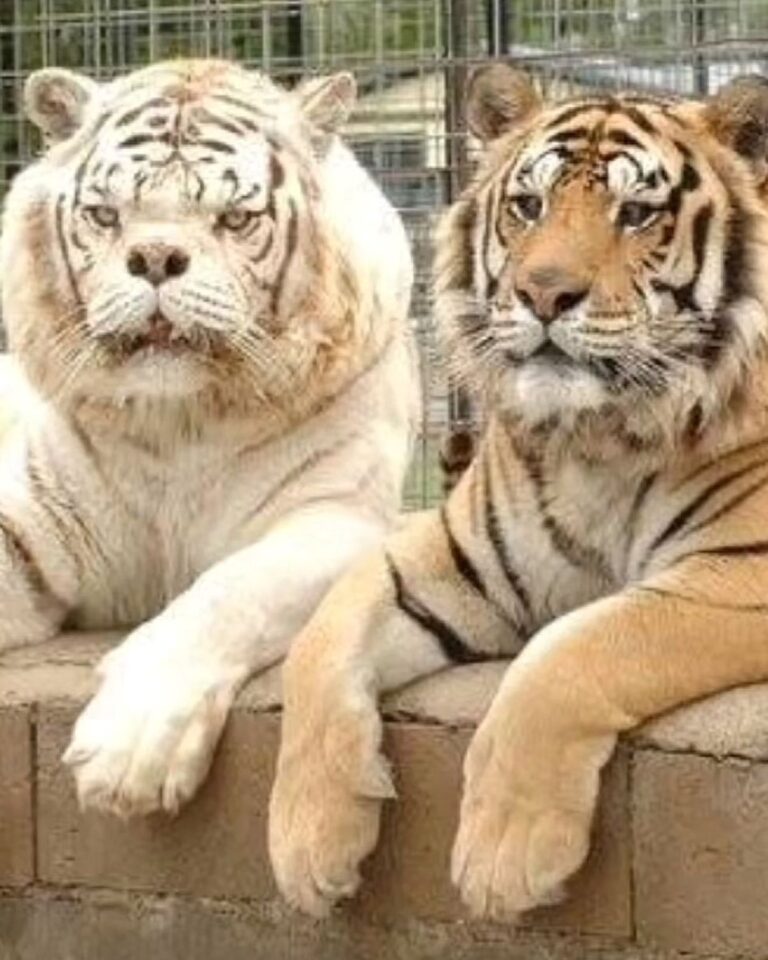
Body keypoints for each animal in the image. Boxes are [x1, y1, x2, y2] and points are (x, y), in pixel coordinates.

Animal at [0, 58, 417, 818]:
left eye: (235, 218)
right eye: (106, 214)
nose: (156, 257)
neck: (178, 424)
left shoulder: (336, 517)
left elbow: (228, 594)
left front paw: (128, 752)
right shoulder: (29, 519)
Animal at [269, 63, 768, 921]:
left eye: (637, 214)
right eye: (529, 205)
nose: (543, 294)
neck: (597, 440)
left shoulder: (742, 568)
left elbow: (572, 647)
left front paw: (506, 856)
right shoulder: (452, 554)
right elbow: (322, 638)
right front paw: (305, 846)